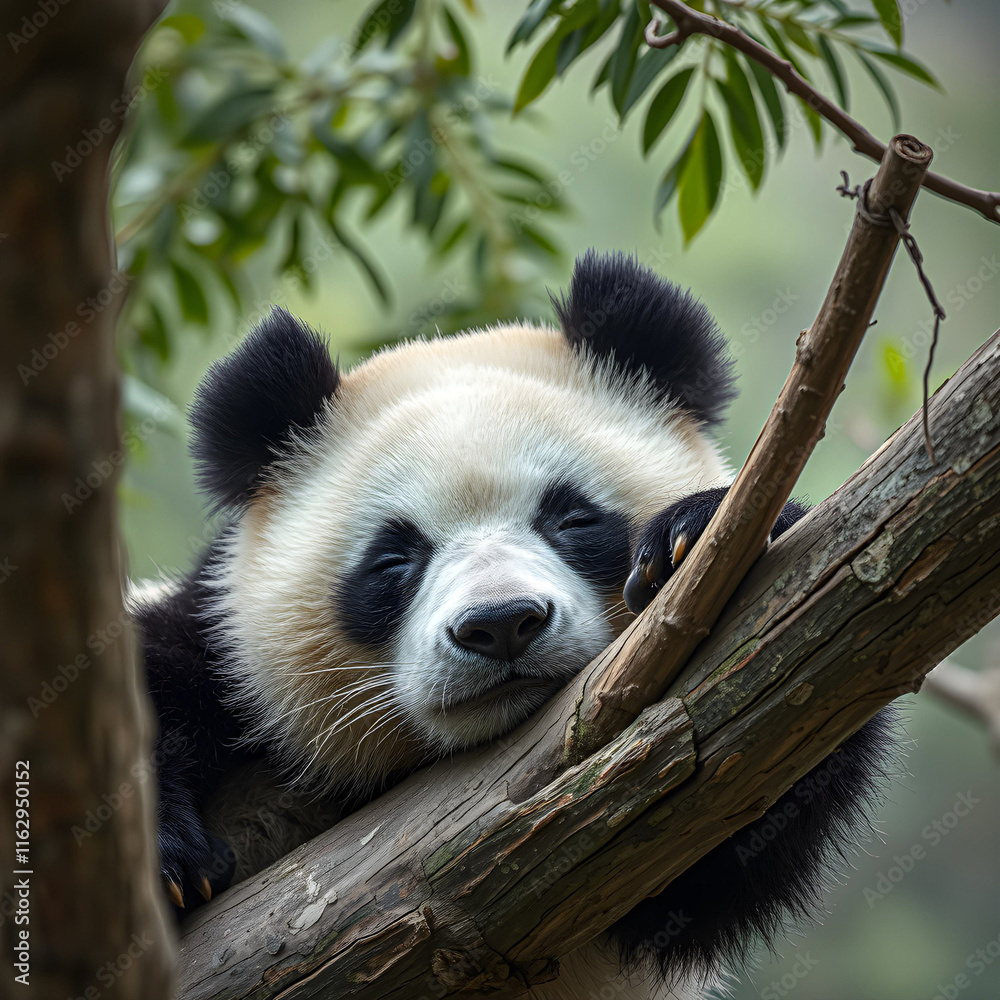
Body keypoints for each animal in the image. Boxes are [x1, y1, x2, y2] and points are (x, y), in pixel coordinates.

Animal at [132, 251, 898, 999]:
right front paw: (174, 864)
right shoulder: (223, 649)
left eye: (571, 518)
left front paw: (696, 533)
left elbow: (737, 816)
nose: (500, 625)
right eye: (395, 557)